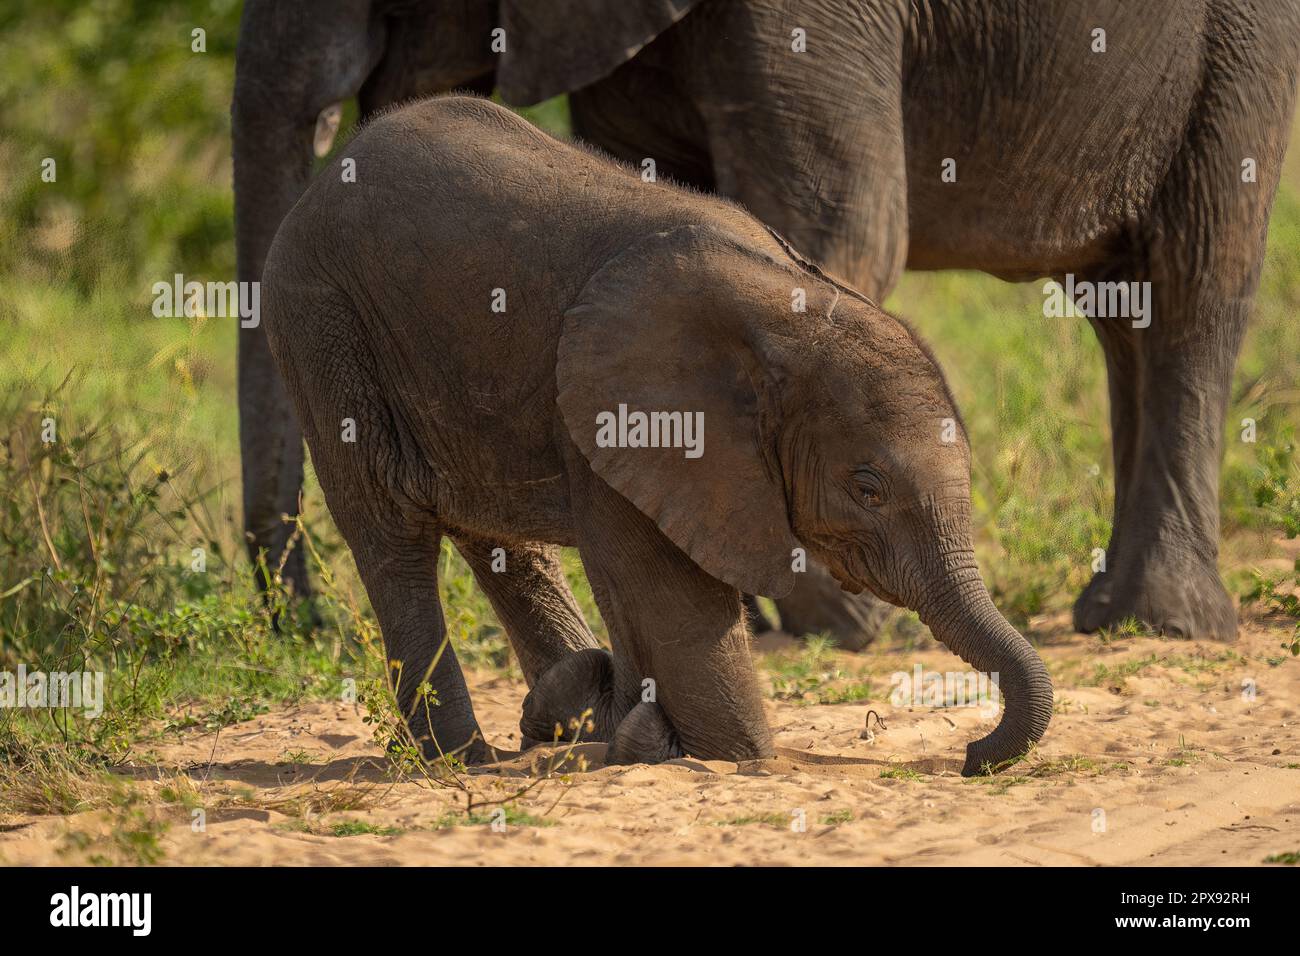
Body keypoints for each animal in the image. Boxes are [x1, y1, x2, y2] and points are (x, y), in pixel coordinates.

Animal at [234, 0, 1300, 644]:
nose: (306, 624)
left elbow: (837, 217)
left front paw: (832, 623)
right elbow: (665, 193)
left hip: (1241, 45)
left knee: (1195, 277)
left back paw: (1161, 626)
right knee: (1126, 313)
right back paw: (1115, 616)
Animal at [258, 96, 1054, 775]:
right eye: (869, 489)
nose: (969, 754)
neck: (790, 309)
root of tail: (322, 180)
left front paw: (621, 725)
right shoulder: (640, 424)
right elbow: (678, 606)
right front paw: (677, 742)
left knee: (499, 538)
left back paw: (565, 709)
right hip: (323, 323)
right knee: (392, 534)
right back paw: (467, 758)